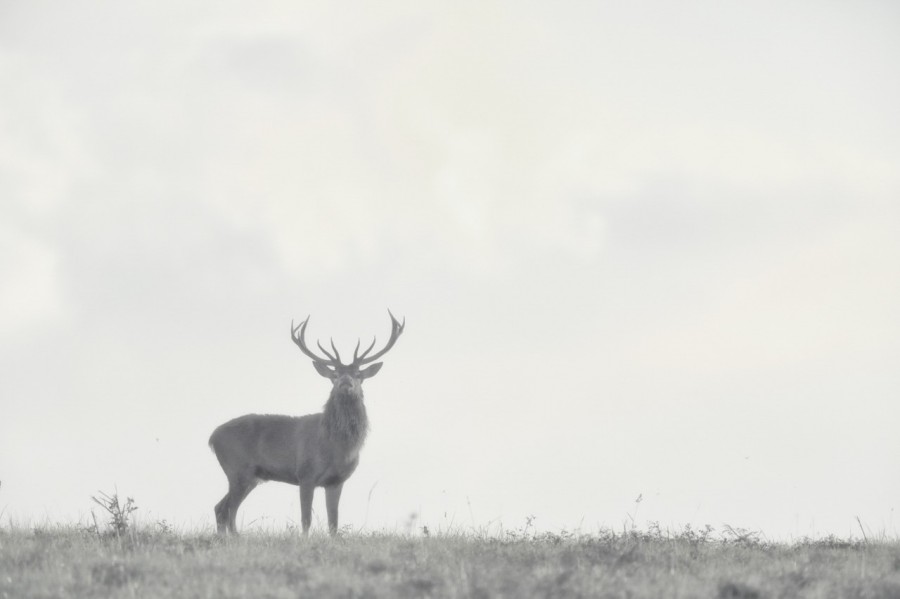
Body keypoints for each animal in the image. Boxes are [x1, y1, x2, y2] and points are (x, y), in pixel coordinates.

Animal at [209, 311, 405, 536]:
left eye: (358, 375)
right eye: (334, 374)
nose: (345, 382)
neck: (337, 447)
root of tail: (212, 438)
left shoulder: (336, 481)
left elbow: (333, 522)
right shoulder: (305, 474)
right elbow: (306, 519)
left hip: (249, 477)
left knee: (221, 507)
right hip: (238, 469)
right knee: (227, 508)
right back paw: (235, 537)